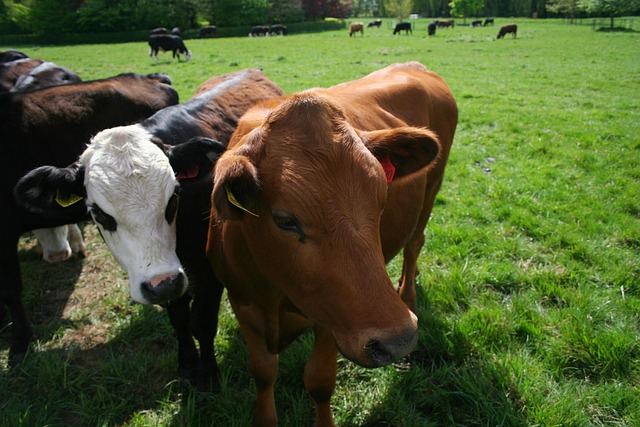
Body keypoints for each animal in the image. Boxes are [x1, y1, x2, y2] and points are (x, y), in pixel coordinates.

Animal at [206, 61, 457, 425]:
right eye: (286, 220)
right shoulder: (243, 301)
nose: (398, 340)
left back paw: (407, 293)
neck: (277, 288)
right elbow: (263, 372)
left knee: (414, 244)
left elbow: (319, 381)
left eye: (381, 200)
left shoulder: (333, 315)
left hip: (432, 189)